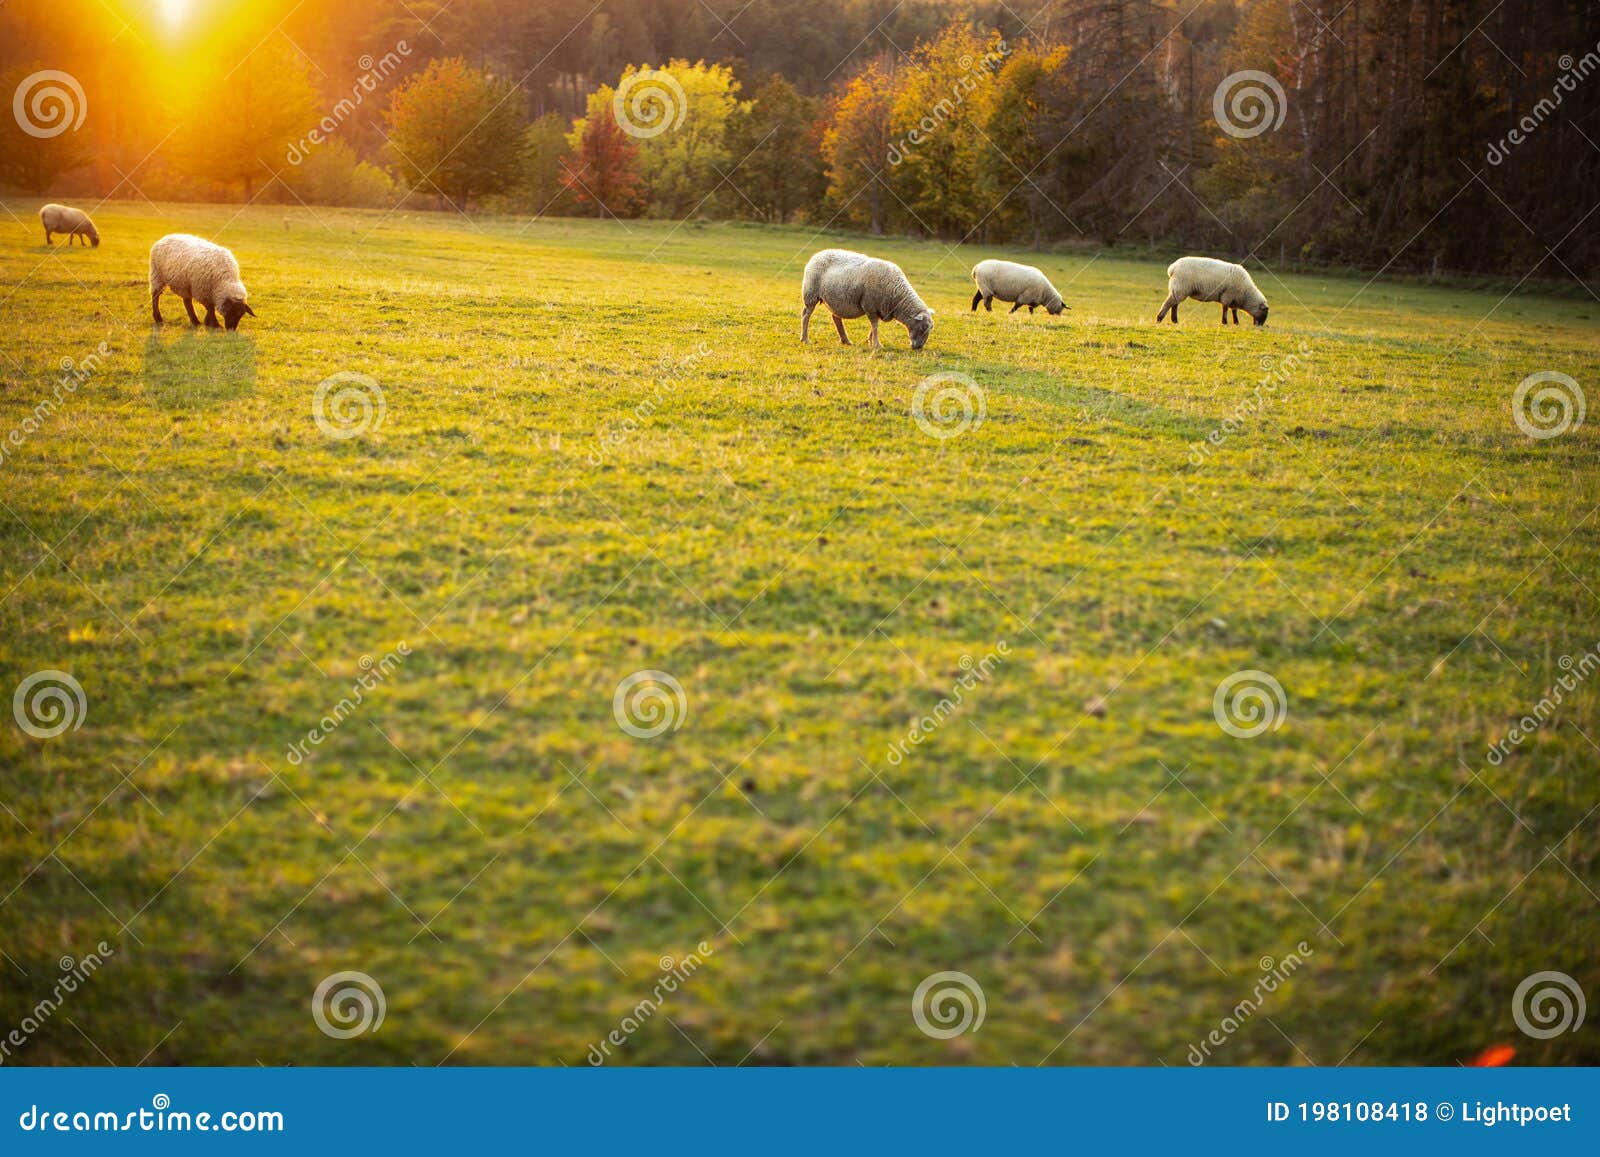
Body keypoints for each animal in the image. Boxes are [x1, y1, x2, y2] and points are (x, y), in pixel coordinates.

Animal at [801, 249, 933, 350]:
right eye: (923, 328)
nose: (918, 348)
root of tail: (817, 254)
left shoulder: (879, 309)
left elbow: (873, 326)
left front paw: (870, 341)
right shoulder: (870, 306)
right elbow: (875, 326)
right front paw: (877, 345)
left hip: (836, 299)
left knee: (836, 317)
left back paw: (845, 340)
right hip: (811, 293)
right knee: (806, 315)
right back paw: (805, 338)